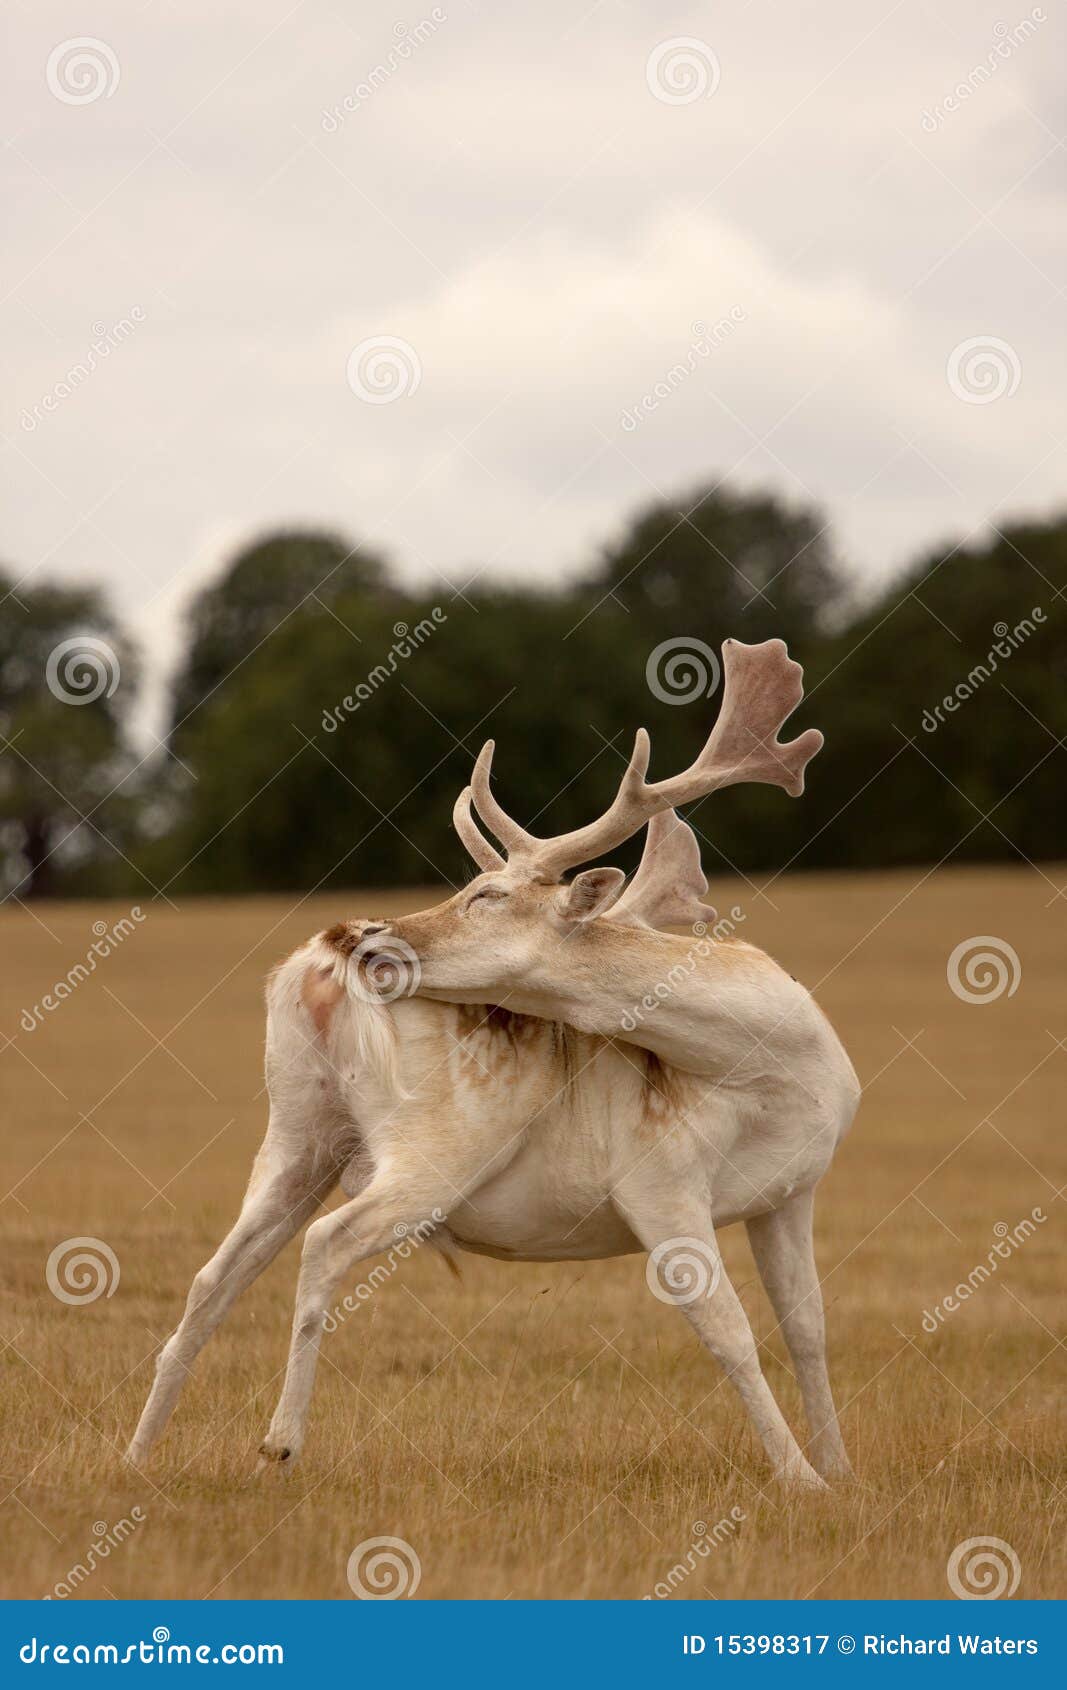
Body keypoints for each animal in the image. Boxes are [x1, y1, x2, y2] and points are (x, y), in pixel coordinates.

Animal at [128, 639, 858, 1491]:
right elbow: (730, 1331)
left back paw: (136, 1453)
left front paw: (840, 1469)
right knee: (328, 1242)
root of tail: (313, 965)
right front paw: (800, 1479)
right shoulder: (657, 1179)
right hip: (438, 1145)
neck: (772, 1075)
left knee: (215, 1274)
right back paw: (280, 1442)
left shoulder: (791, 1189)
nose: (368, 937)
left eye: (484, 895)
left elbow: (806, 1326)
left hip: (297, 1131)